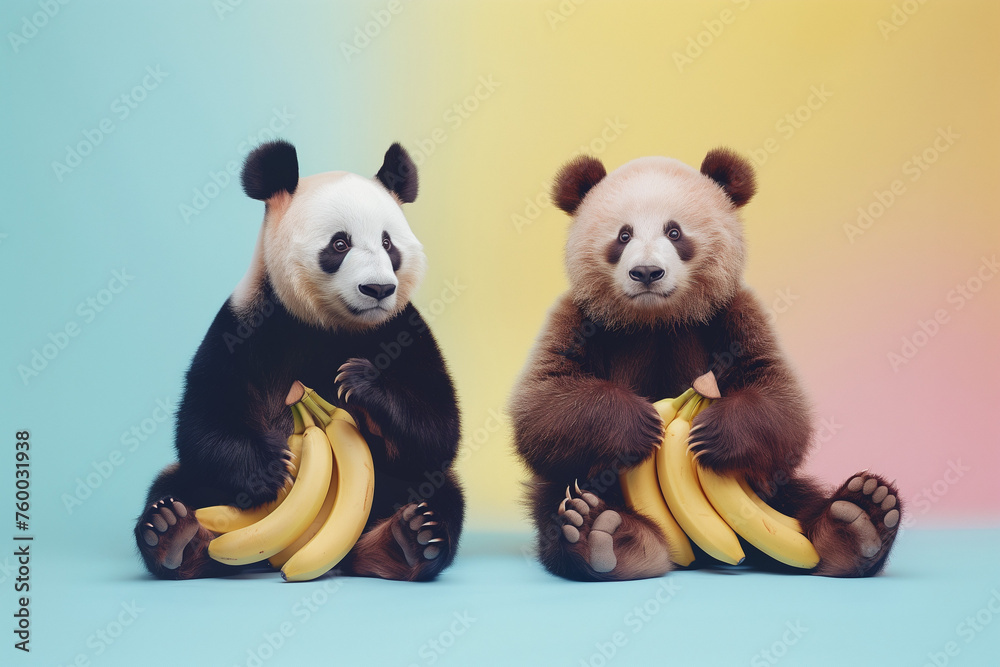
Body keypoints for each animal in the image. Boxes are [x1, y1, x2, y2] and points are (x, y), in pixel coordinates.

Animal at [135, 141, 464, 581]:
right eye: (340, 244)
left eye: (388, 243)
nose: (378, 289)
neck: (329, 325)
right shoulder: (246, 325)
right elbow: (205, 417)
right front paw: (268, 470)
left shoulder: (402, 330)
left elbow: (437, 430)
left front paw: (360, 383)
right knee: (176, 484)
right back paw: (174, 534)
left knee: (441, 492)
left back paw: (407, 542)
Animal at [510, 149, 902, 581]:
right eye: (624, 235)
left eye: (674, 232)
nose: (646, 272)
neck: (657, 319)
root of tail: (699, 554)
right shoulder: (581, 318)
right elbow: (544, 402)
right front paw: (639, 424)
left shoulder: (732, 312)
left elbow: (779, 399)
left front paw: (715, 433)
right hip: (575, 485)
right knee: (557, 507)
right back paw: (606, 534)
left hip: (768, 489)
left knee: (797, 497)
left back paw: (859, 519)